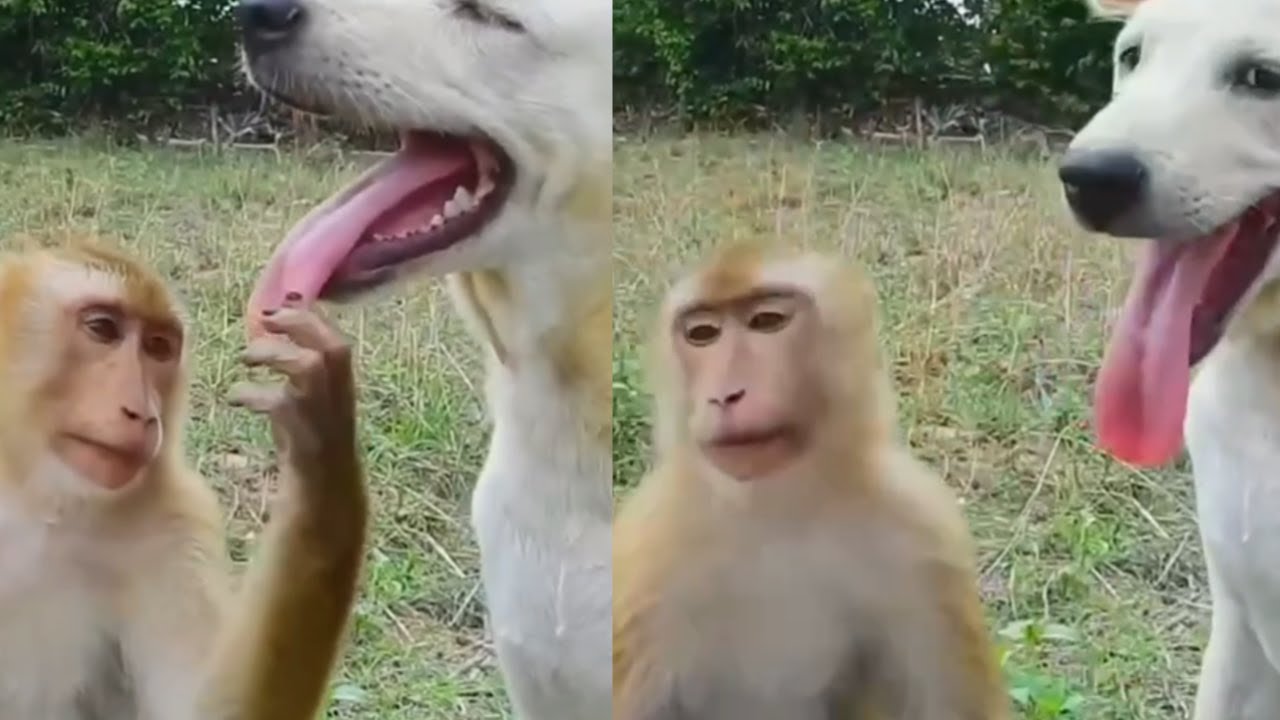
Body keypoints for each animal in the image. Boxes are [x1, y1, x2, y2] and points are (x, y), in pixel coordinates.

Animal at [0, 238, 367, 720]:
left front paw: (321, 448)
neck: (42, 501)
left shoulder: (176, 521)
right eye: (102, 329)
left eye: (159, 347)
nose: (141, 411)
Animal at [612, 243, 1010, 720]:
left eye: (767, 321)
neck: (776, 509)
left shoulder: (925, 536)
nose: (725, 395)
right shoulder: (647, 557)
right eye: (703, 333)